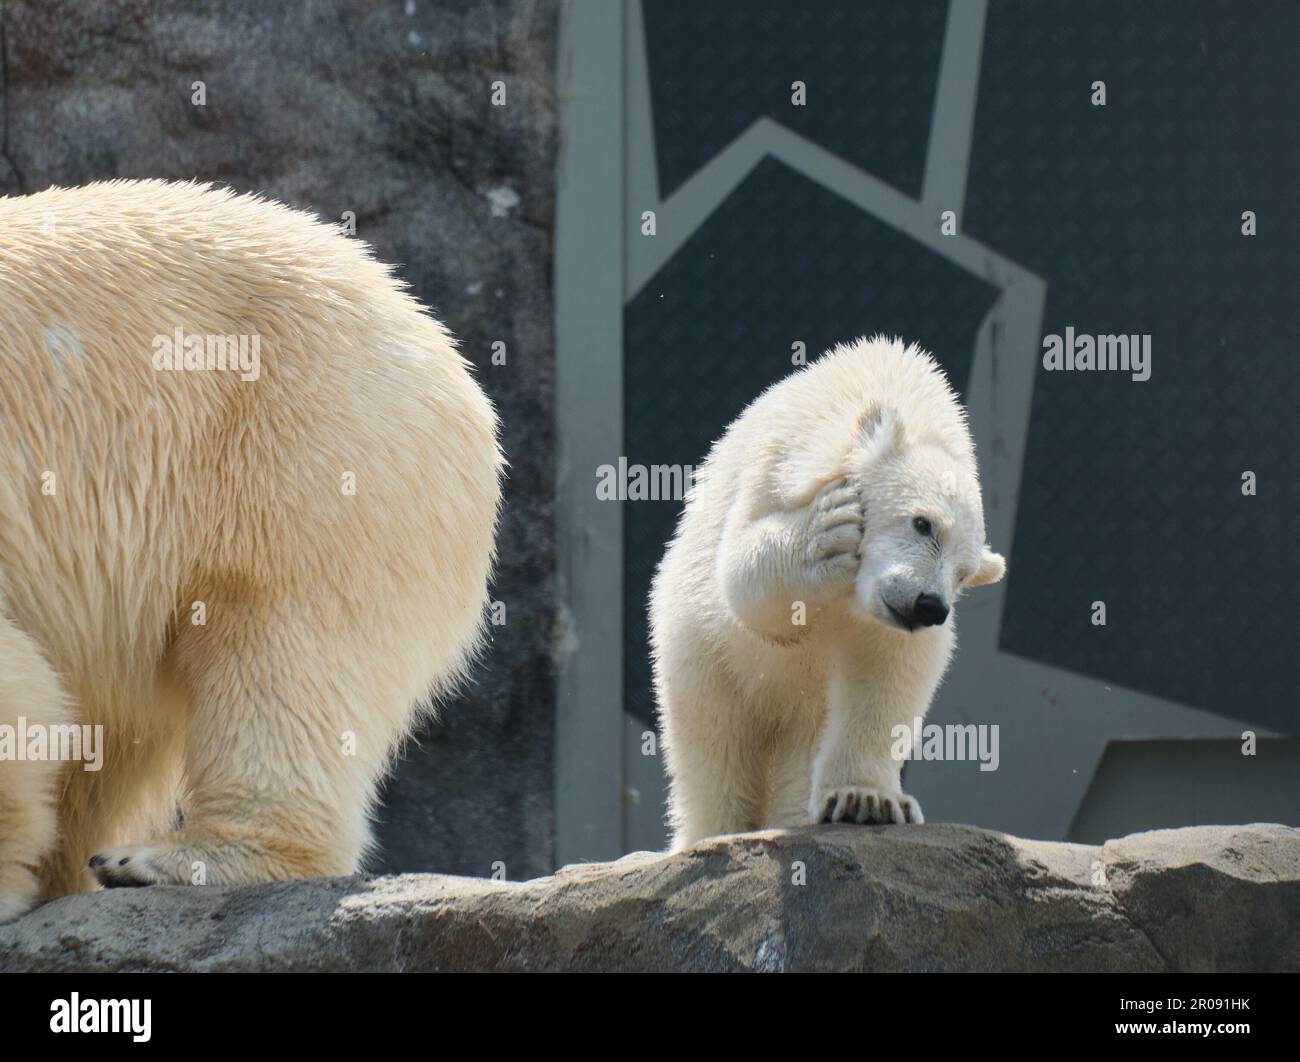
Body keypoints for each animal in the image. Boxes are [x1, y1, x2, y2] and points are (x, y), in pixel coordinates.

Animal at [649, 336, 1005, 850]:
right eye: (923, 523)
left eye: (963, 574)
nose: (929, 605)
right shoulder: (776, 464)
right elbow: (742, 576)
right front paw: (825, 537)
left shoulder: (884, 623)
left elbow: (887, 673)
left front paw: (865, 800)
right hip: (700, 649)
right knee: (711, 740)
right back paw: (711, 833)